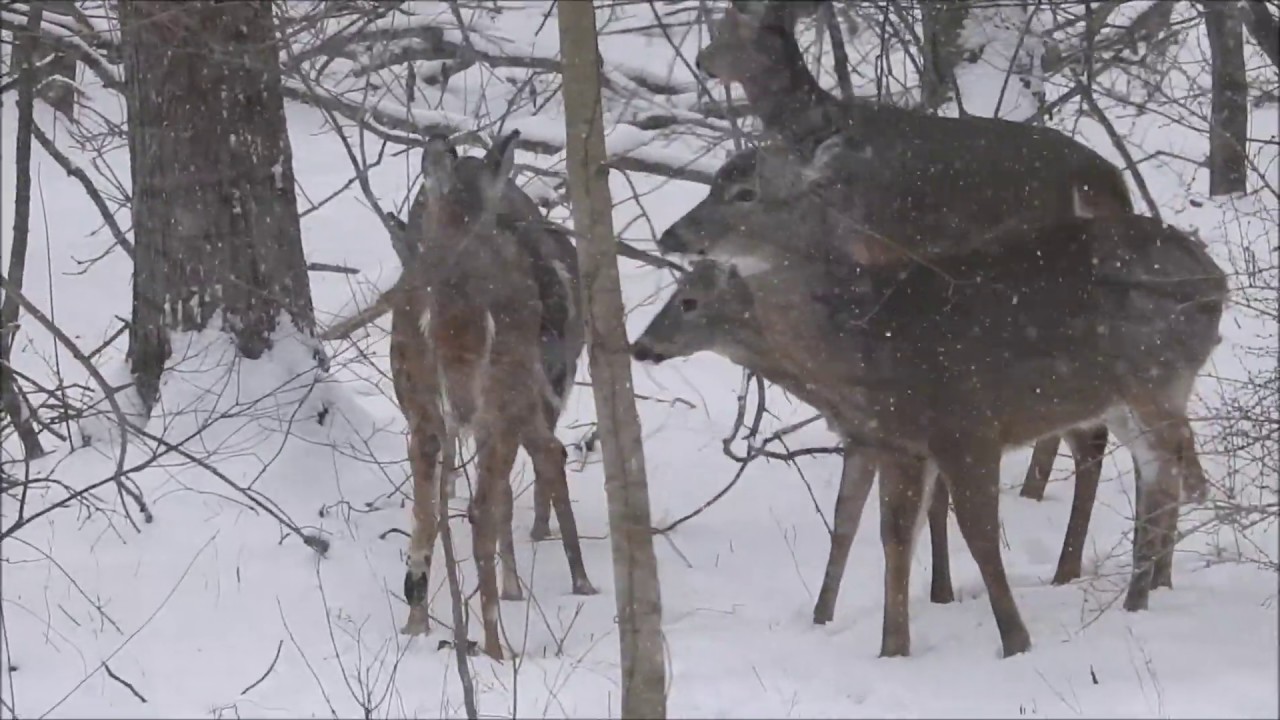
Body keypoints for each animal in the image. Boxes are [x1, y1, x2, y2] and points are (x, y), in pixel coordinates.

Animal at [341, 131, 596, 660]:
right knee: (497, 496)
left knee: (428, 510)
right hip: (504, 394)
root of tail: (455, 312)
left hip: (421, 395)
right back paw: (500, 644)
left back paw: (418, 623)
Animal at [632, 211, 1227, 658]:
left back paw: (1139, 592)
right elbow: (881, 530)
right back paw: (1141, 593)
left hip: (1154, 378)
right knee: (1162, 472)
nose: (641, 346)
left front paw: (1015, 640)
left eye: (688, 301)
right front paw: (885, 643)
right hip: (1129, 397)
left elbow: (976, 533)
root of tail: (1216, 278)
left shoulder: (967, 429)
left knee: (1167, 469)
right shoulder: (893, 443)